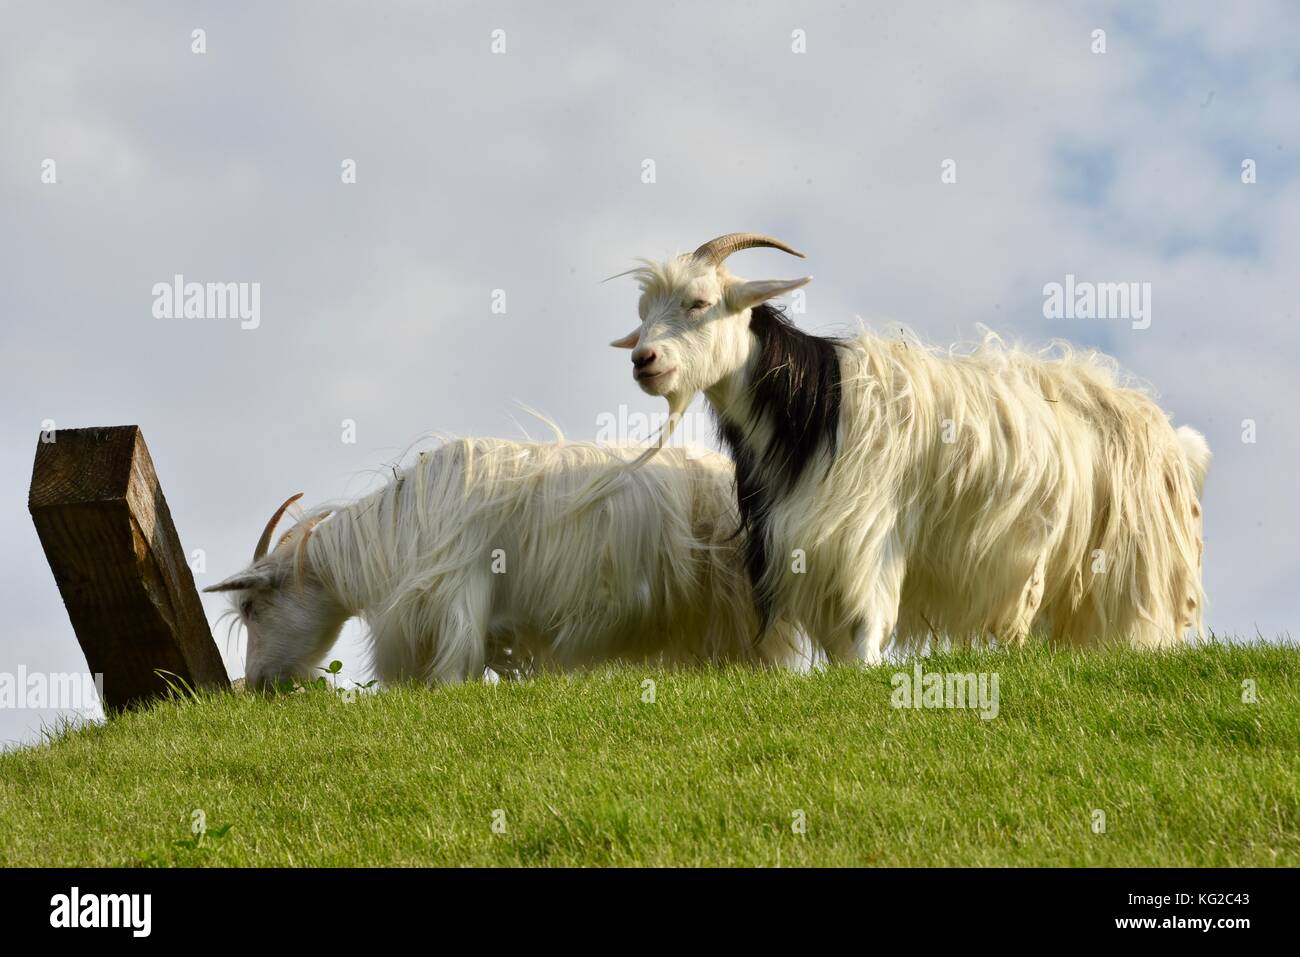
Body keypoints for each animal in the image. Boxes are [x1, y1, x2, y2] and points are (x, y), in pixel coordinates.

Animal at [609, 232, 1210, 662]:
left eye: (700, 302)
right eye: (641, 314)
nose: (644, 361)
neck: (817, 406)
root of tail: (1174, 440)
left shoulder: (869, 534)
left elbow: (869, 625)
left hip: (1135, 568)